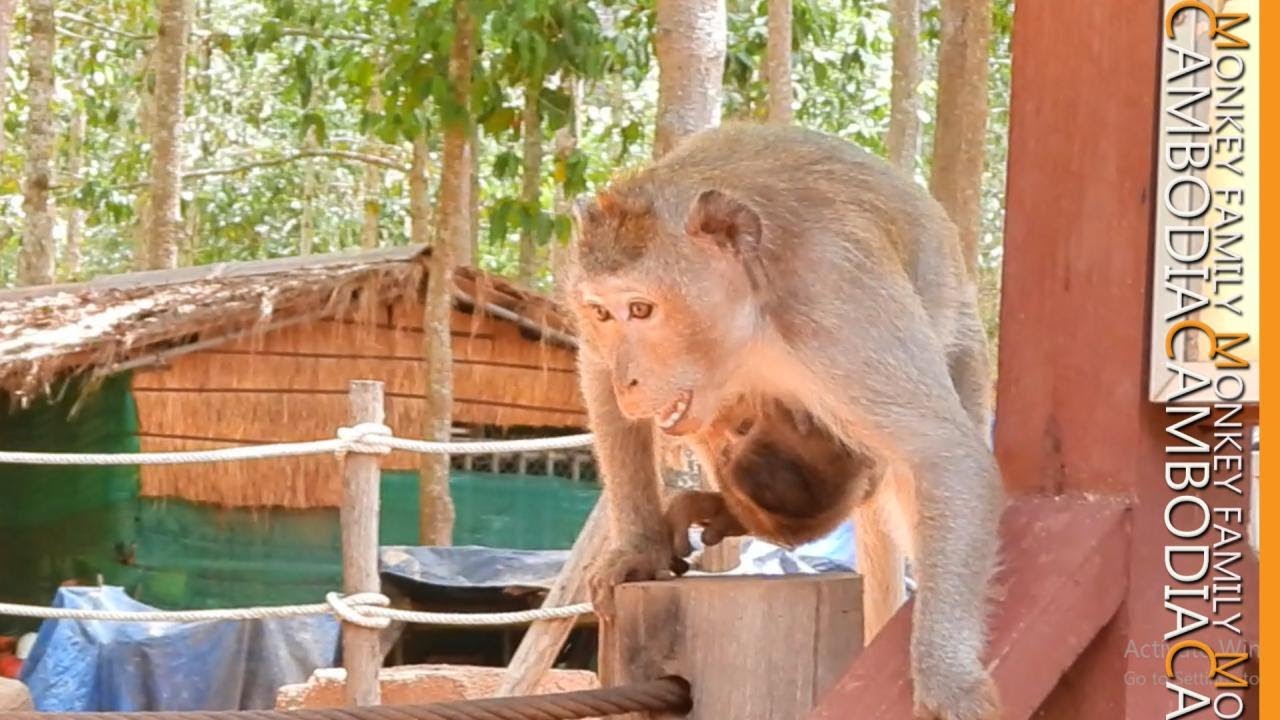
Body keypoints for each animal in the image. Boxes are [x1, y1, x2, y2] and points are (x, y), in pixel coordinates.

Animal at [566, 123, 1003, 720]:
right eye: (602, 313)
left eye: (641, 309)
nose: (628, 378)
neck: (751, 314)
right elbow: (594, 371)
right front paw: (638, 548)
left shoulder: (835, 300)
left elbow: (941, 452)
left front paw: (946, 678)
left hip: (966, 354)